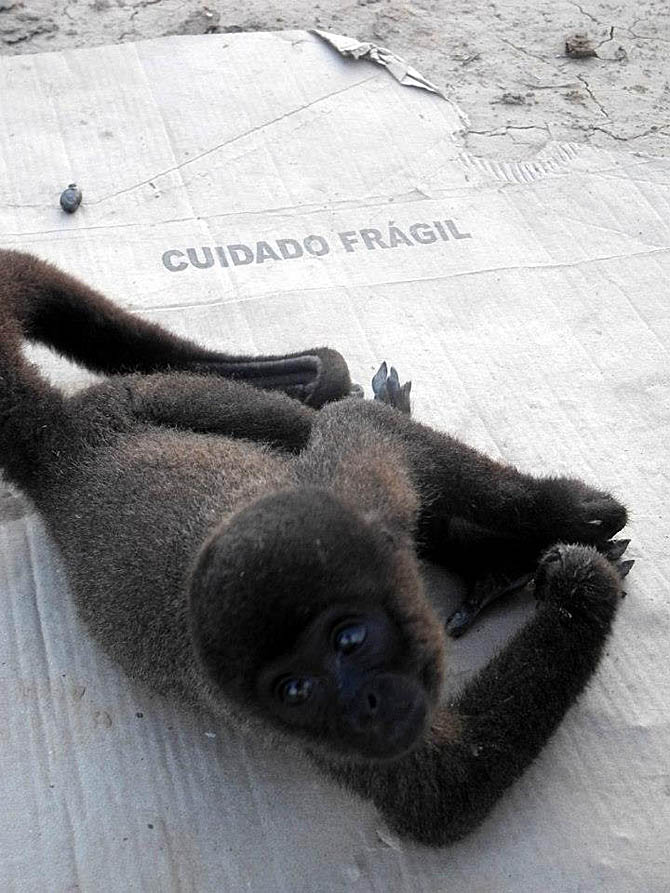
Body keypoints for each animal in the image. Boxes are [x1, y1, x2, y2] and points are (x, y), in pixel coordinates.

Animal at [0, 249, 632, 845]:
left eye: (350, 638)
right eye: (296, 692)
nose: (366, 705)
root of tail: (58, 456)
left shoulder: (358, 498)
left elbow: (365, 426)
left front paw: (569, 508)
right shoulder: (285, 721)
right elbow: (444, 789)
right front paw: (582, 588)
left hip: (142, 395)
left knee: (297, 417)